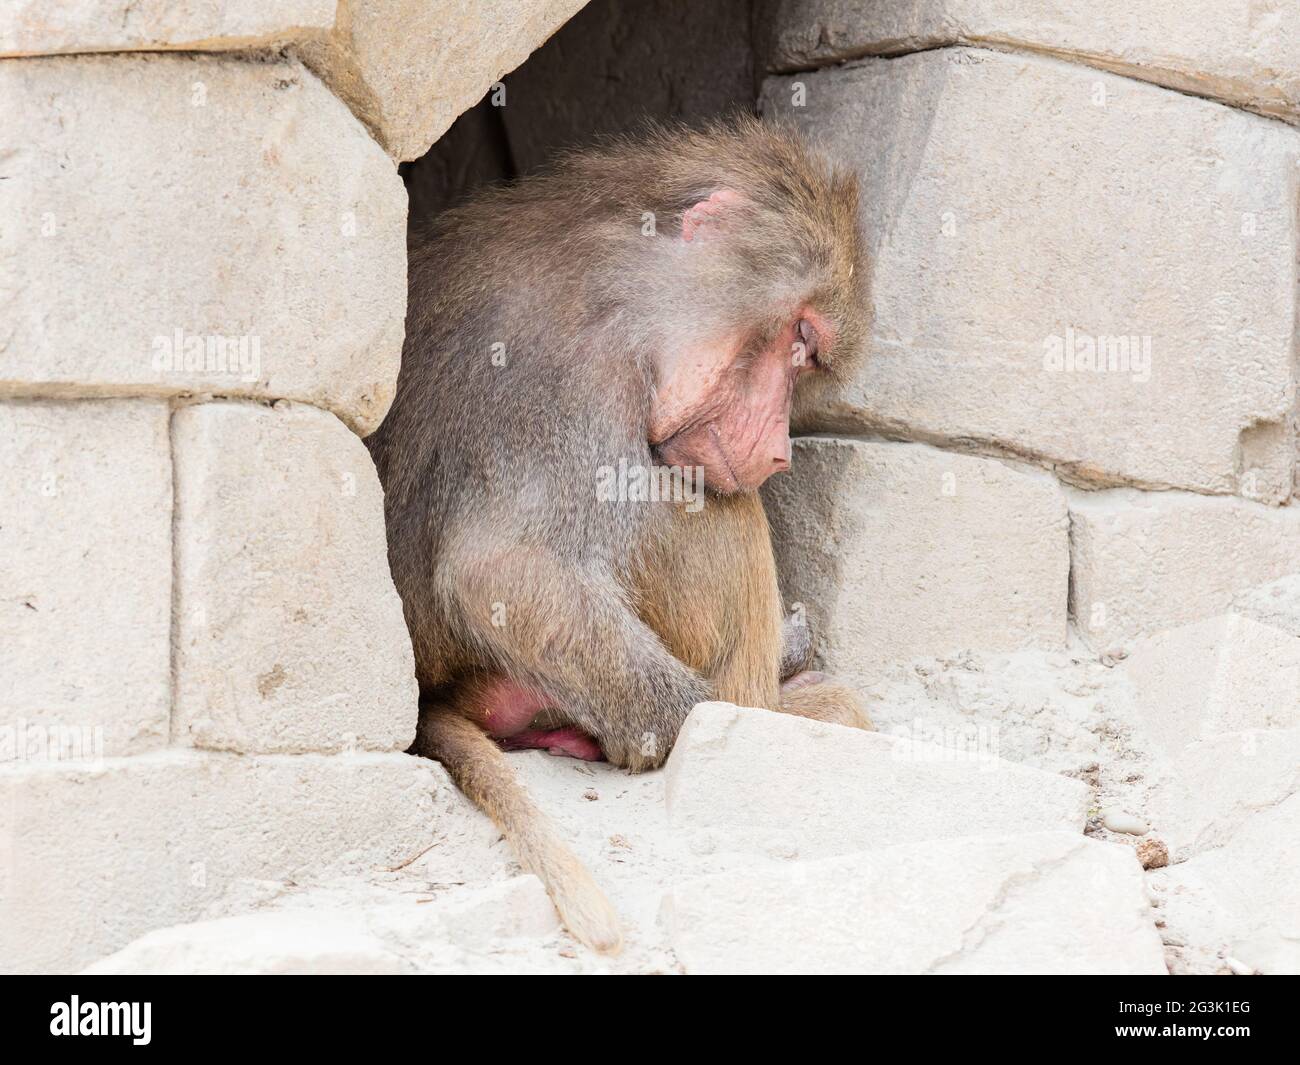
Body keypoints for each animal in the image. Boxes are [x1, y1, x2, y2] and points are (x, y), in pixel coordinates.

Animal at [365, 116, 870, 954]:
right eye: (798, 341)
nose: (777, 453)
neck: (620, 275)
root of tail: (436, 685)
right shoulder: (574, 377)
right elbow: (502, 569)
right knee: (715, 502)